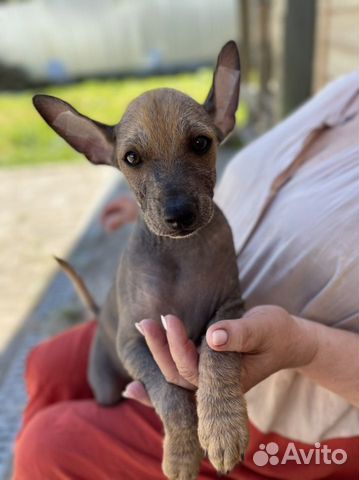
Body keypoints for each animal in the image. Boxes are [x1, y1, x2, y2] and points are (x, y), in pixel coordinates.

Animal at [35, 41, 252, 480]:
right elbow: (168, 394)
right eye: (131, 158)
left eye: (201, 144)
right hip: (105, 384)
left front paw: (222, 428)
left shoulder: (228, 310)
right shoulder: (134, 342)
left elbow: (217, 359)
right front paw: (182, 452)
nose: (179, 214)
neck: (180, 253)